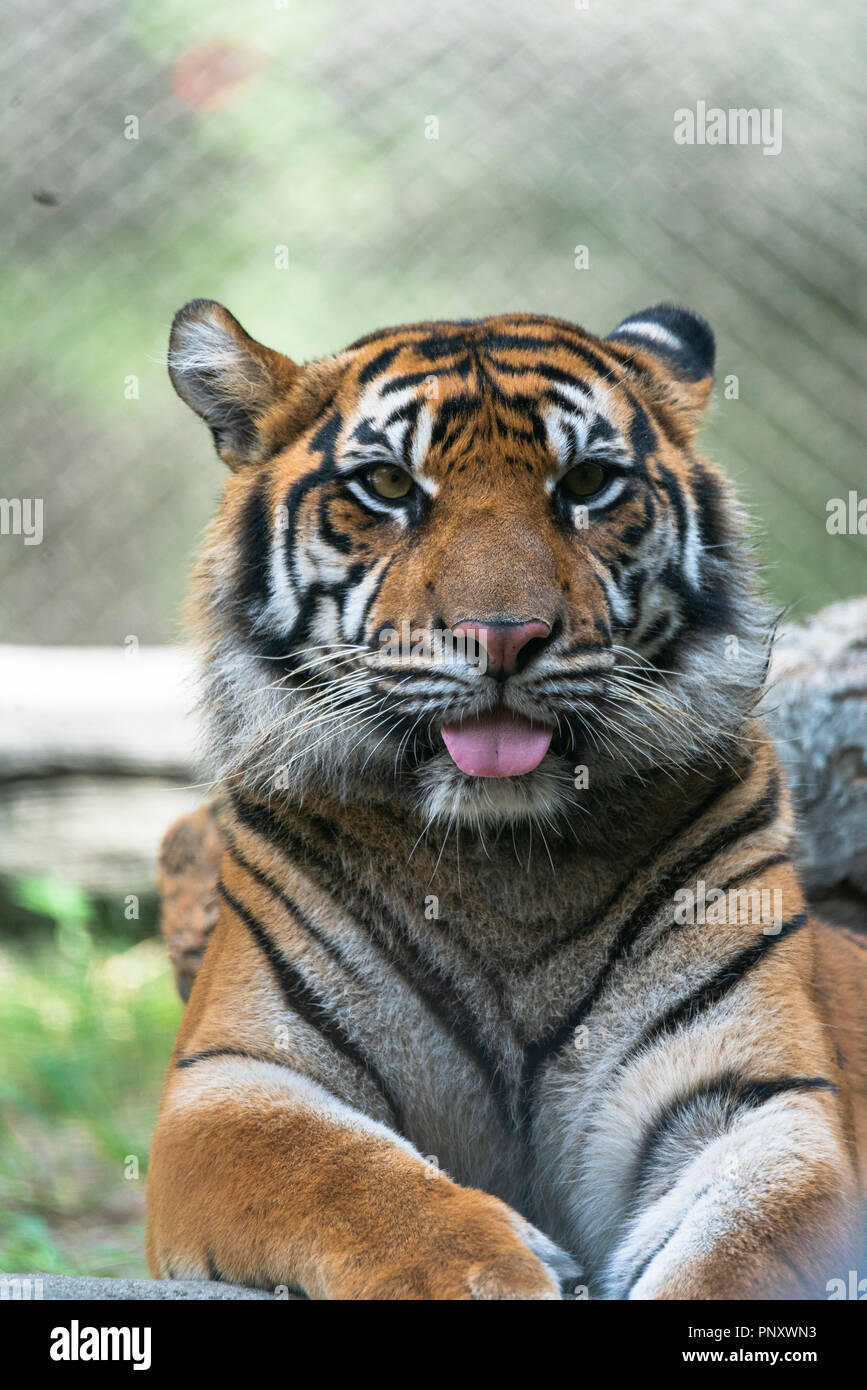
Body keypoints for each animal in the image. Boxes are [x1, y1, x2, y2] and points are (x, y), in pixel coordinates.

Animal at [146, 298, 867, 1300]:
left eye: (588, 482)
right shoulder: (231, 1083)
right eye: (387, 485)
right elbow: (358, 1186)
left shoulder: (758, 1099)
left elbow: (734, 1261)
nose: (502, 634)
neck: (502, 860)